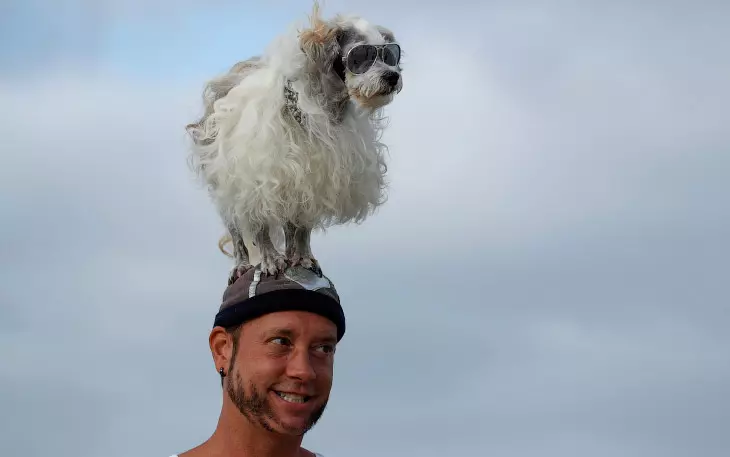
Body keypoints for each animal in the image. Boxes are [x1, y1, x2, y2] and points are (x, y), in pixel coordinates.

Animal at [186, 4, 404, 282]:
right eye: (360, 55)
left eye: (390, 55)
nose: (393, 76)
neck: (320, 109)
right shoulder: (257, 183)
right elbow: (260, 231)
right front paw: (269, 260)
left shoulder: (311, 181)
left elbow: (301, 232)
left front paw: (302, 257)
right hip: (228, 192)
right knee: (237, 234)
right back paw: (242, 264)